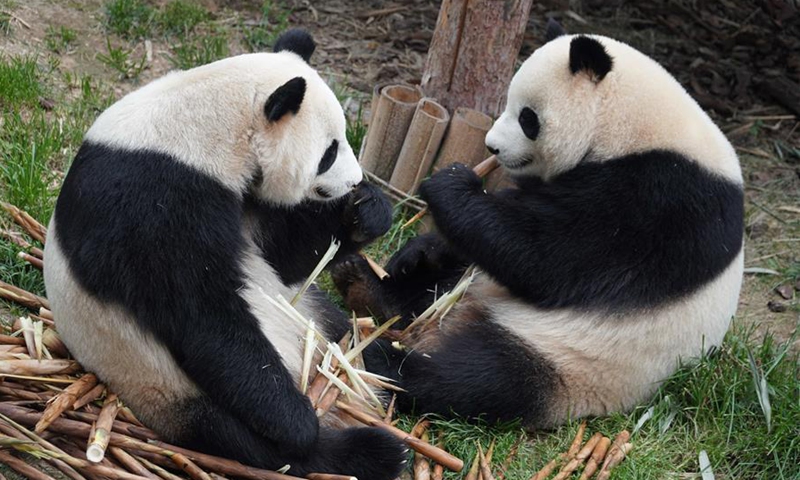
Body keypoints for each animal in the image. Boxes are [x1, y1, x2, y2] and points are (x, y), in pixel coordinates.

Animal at [43, 29, 407, 479]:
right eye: (329, 152)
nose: (354, 181)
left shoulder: (245, 196)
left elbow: (284, 257)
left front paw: (366, 211)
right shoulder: (151, 199)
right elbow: (202, 313)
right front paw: (298, 422)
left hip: (315, 318)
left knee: (363, 345)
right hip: (162, 383)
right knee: (255, 445)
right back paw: (371, 449)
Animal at [332, 22, 744, 429]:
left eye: (527, 117)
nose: (492, 147)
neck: (636, 125)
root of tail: (465, 316)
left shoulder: (662, 200)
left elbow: (550, 258)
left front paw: (449, 184)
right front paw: (418, 251)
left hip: (574, 359)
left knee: (481, 378)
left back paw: (381, 360)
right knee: (441, 288)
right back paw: (367, 286)